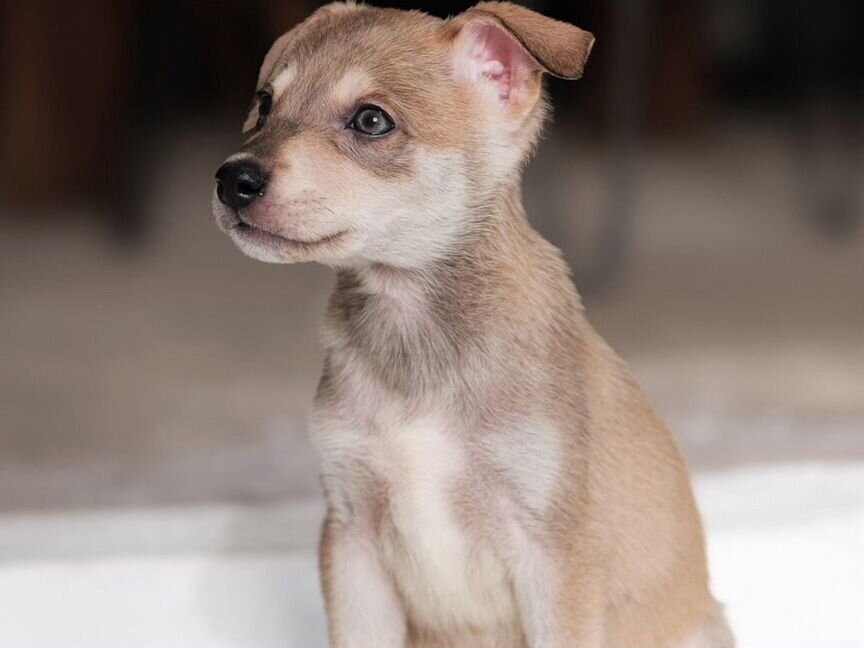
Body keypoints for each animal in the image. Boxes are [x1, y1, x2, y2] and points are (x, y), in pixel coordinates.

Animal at [213, 2, 732, 644]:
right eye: (264, 104)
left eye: (371, 120)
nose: (232, 180)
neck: (413, 322)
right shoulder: (352, 535)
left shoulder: (554, 555)